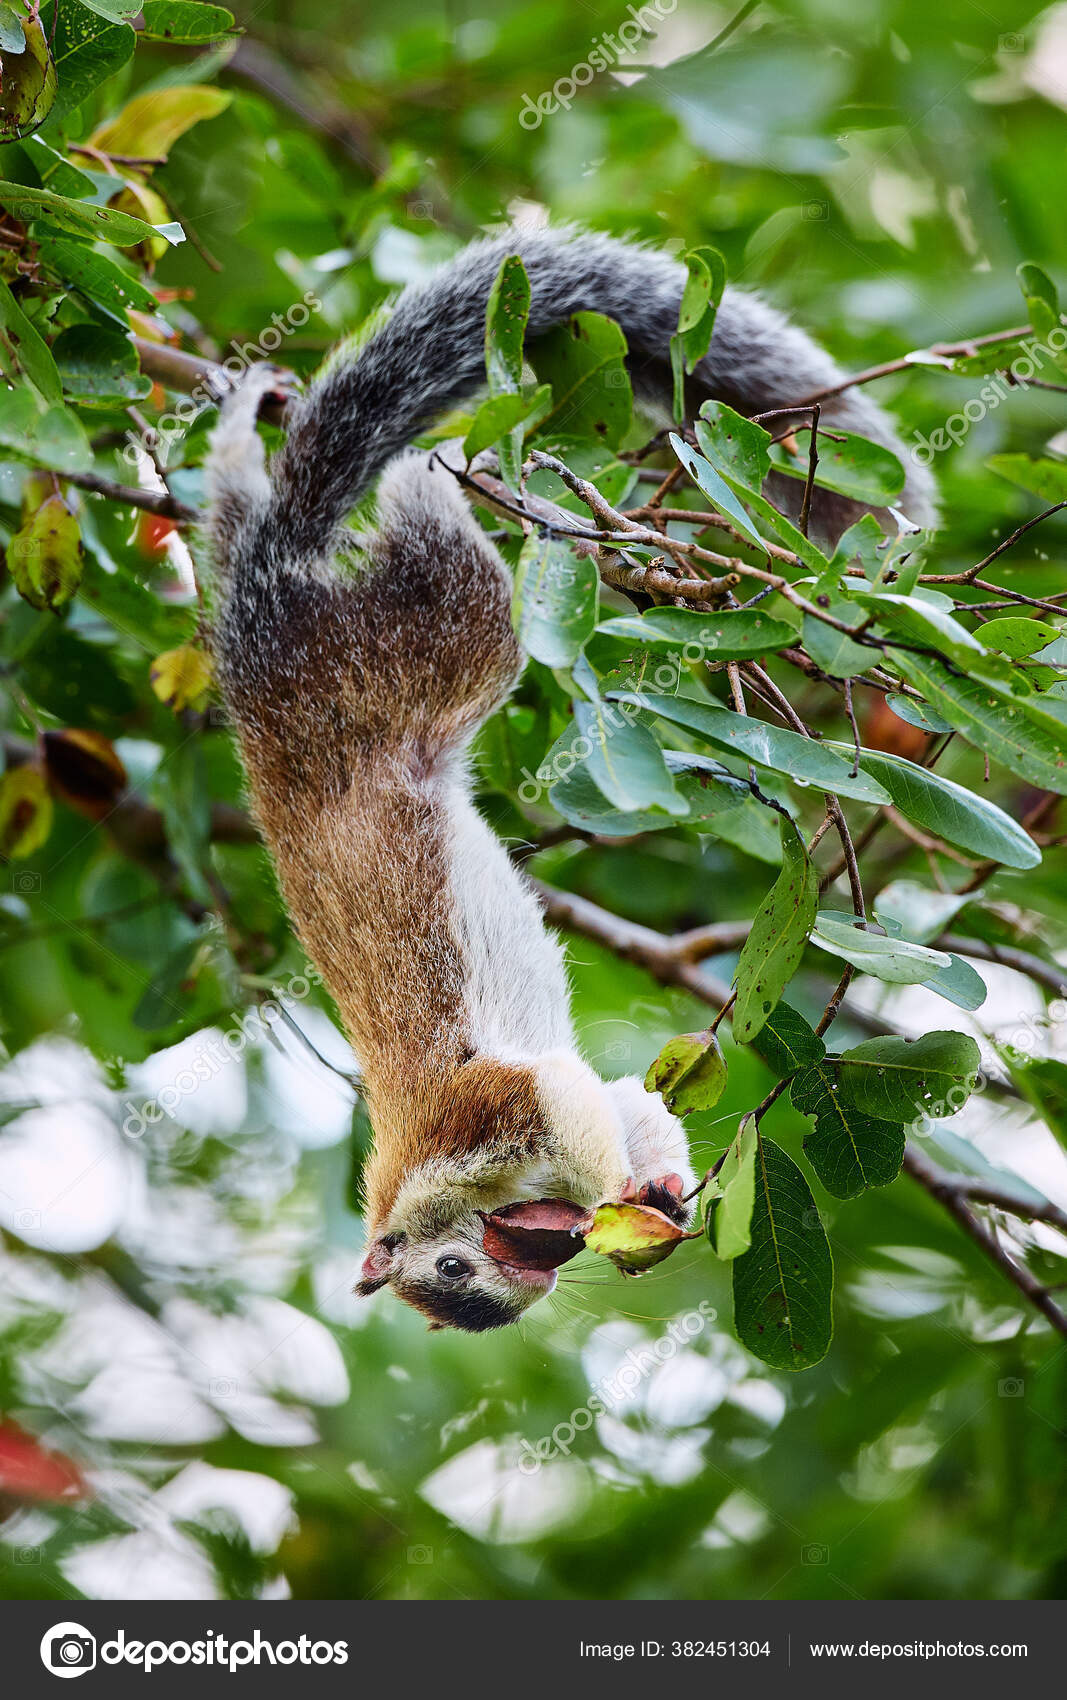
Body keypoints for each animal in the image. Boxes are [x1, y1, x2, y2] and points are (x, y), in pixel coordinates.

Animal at [204, 226, 935, 1332]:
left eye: (450, 1264)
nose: (540, 1268)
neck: (422, 1174)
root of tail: (265, 637)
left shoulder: (483, 1108)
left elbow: (563, 1096)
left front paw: (613, 1193)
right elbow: (627, 1102)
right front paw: (656, 1185)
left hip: (409, 652)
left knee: (430, 540)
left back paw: (465, 470)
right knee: (246, 506)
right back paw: (248, 432)